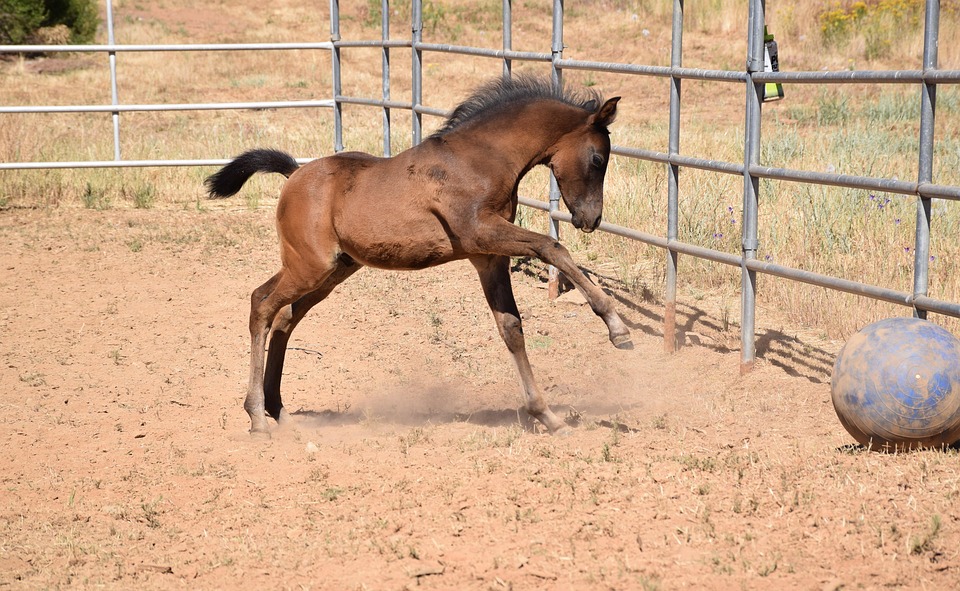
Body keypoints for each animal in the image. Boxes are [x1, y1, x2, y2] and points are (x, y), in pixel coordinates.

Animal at [205, 75, 632, 437]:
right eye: (598, 159)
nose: (591, 219)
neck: (479, 159)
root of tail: (295, 173)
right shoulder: (481, 232)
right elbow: (551, 246)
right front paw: (617, 328)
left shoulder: (488, 257)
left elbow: (511, 327)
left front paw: (548, 416)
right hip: (309, 266)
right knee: (262, 303)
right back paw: (257, 417)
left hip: (332, 271)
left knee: (285, 319)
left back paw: (279, 411)